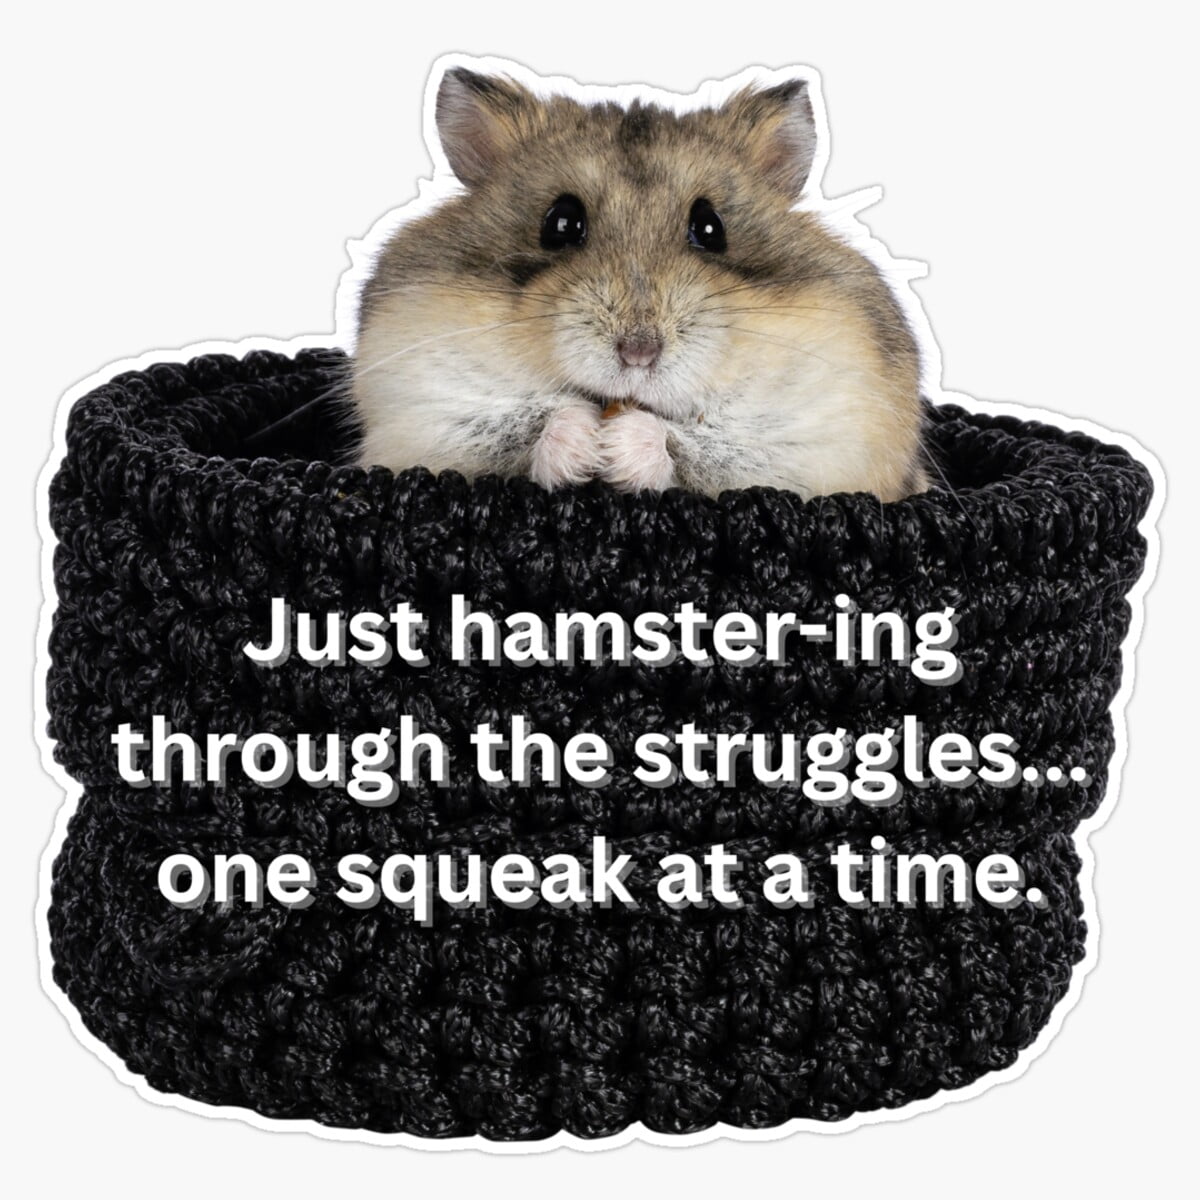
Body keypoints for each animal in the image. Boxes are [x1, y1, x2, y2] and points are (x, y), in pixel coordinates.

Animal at [352, 68, 929, 501]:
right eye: (560, 223)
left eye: (711, 228)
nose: (638, 354)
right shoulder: (418, 409)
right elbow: (521, 422)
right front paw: (586, 441)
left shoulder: (822, 439)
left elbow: (705, 444)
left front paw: (621, 447)